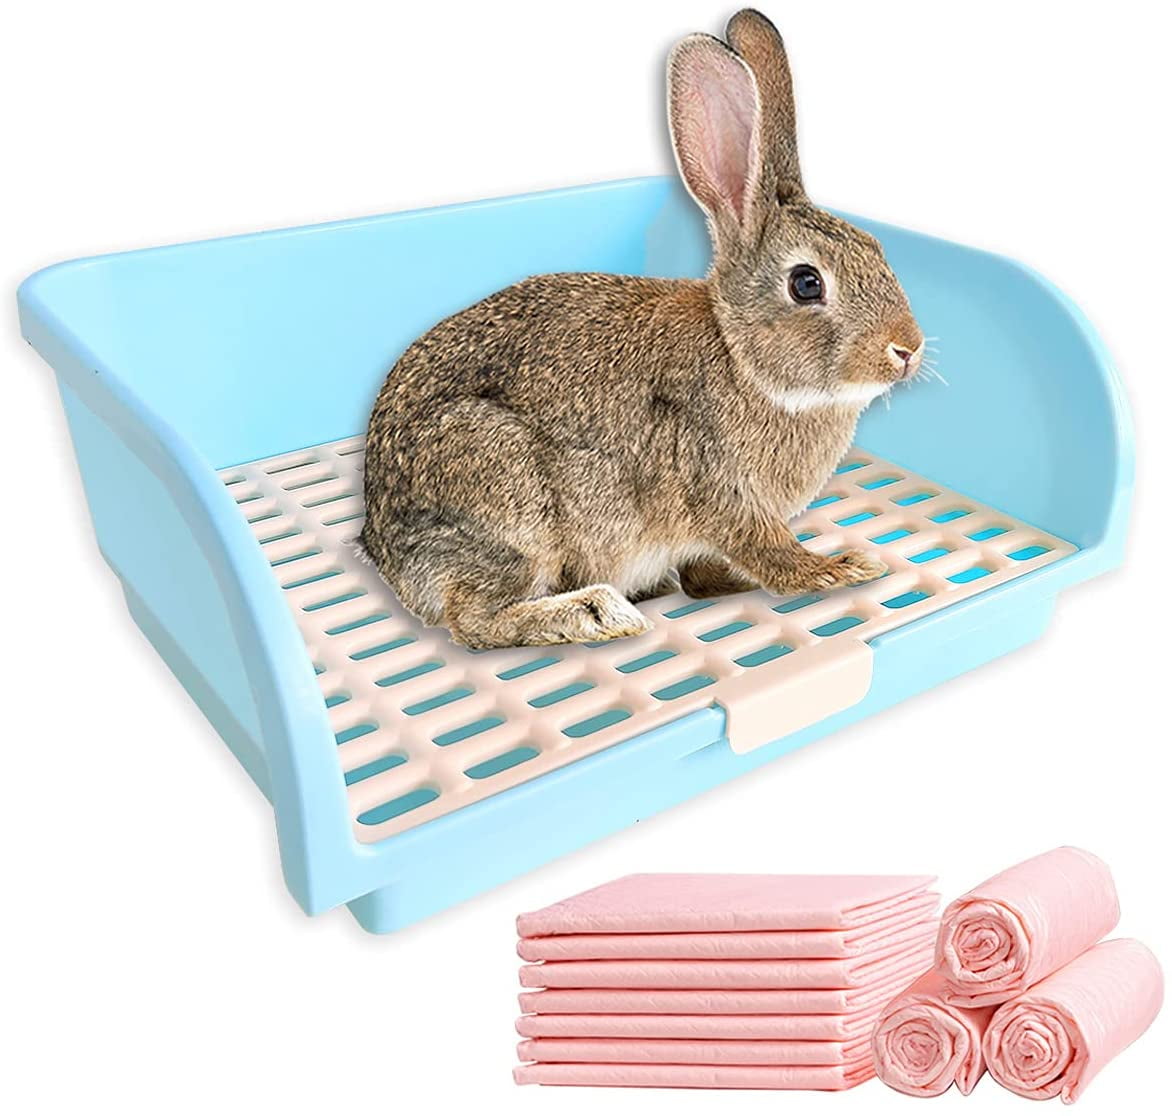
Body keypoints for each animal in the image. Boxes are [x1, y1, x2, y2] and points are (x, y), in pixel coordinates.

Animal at [361, 8, 924, 649]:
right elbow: (770, 553)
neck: (741, 358)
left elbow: (707, 573)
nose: (907, 348)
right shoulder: (722, 489)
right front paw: (844, 567)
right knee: (478, 621)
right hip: (505, 495)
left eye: (877, 249)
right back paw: (596, 612)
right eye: (807, 283)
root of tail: (382, 545)